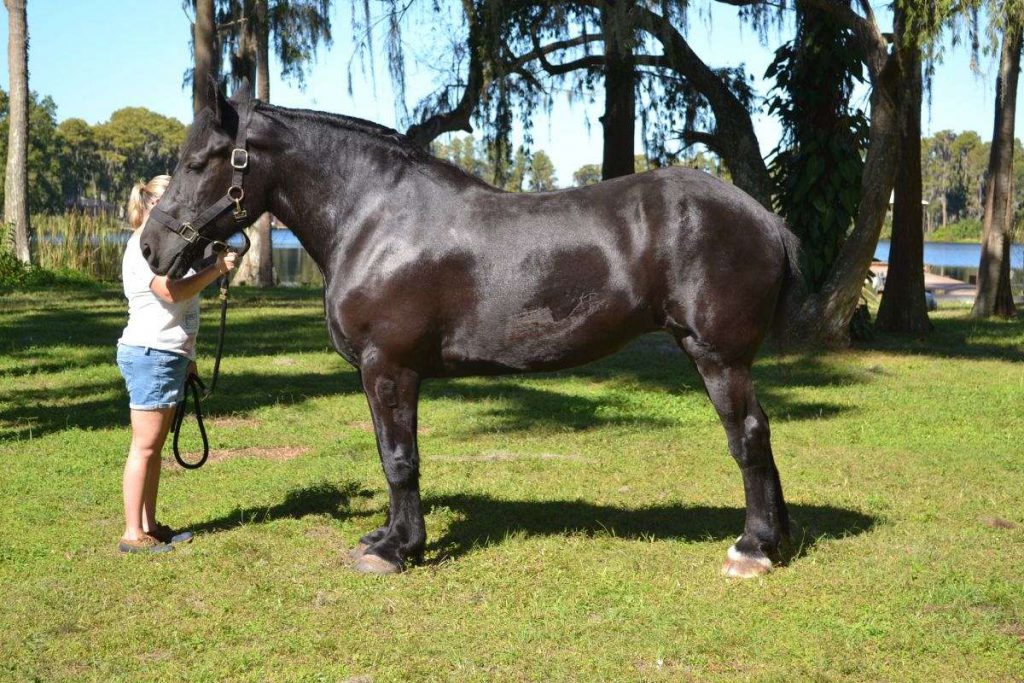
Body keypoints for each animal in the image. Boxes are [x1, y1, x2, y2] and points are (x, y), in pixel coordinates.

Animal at [141, 87, 802, 578]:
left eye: (198, 163)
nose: (152, 248)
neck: (375, 219)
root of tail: (765, 219)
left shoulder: (389, 367)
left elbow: (399, 458)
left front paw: (396, 551)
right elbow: (390, 454)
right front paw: (385, 535)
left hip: (716, 356)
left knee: (747, 436)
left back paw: (752, 548)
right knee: (762, 430)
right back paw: (777, 540)